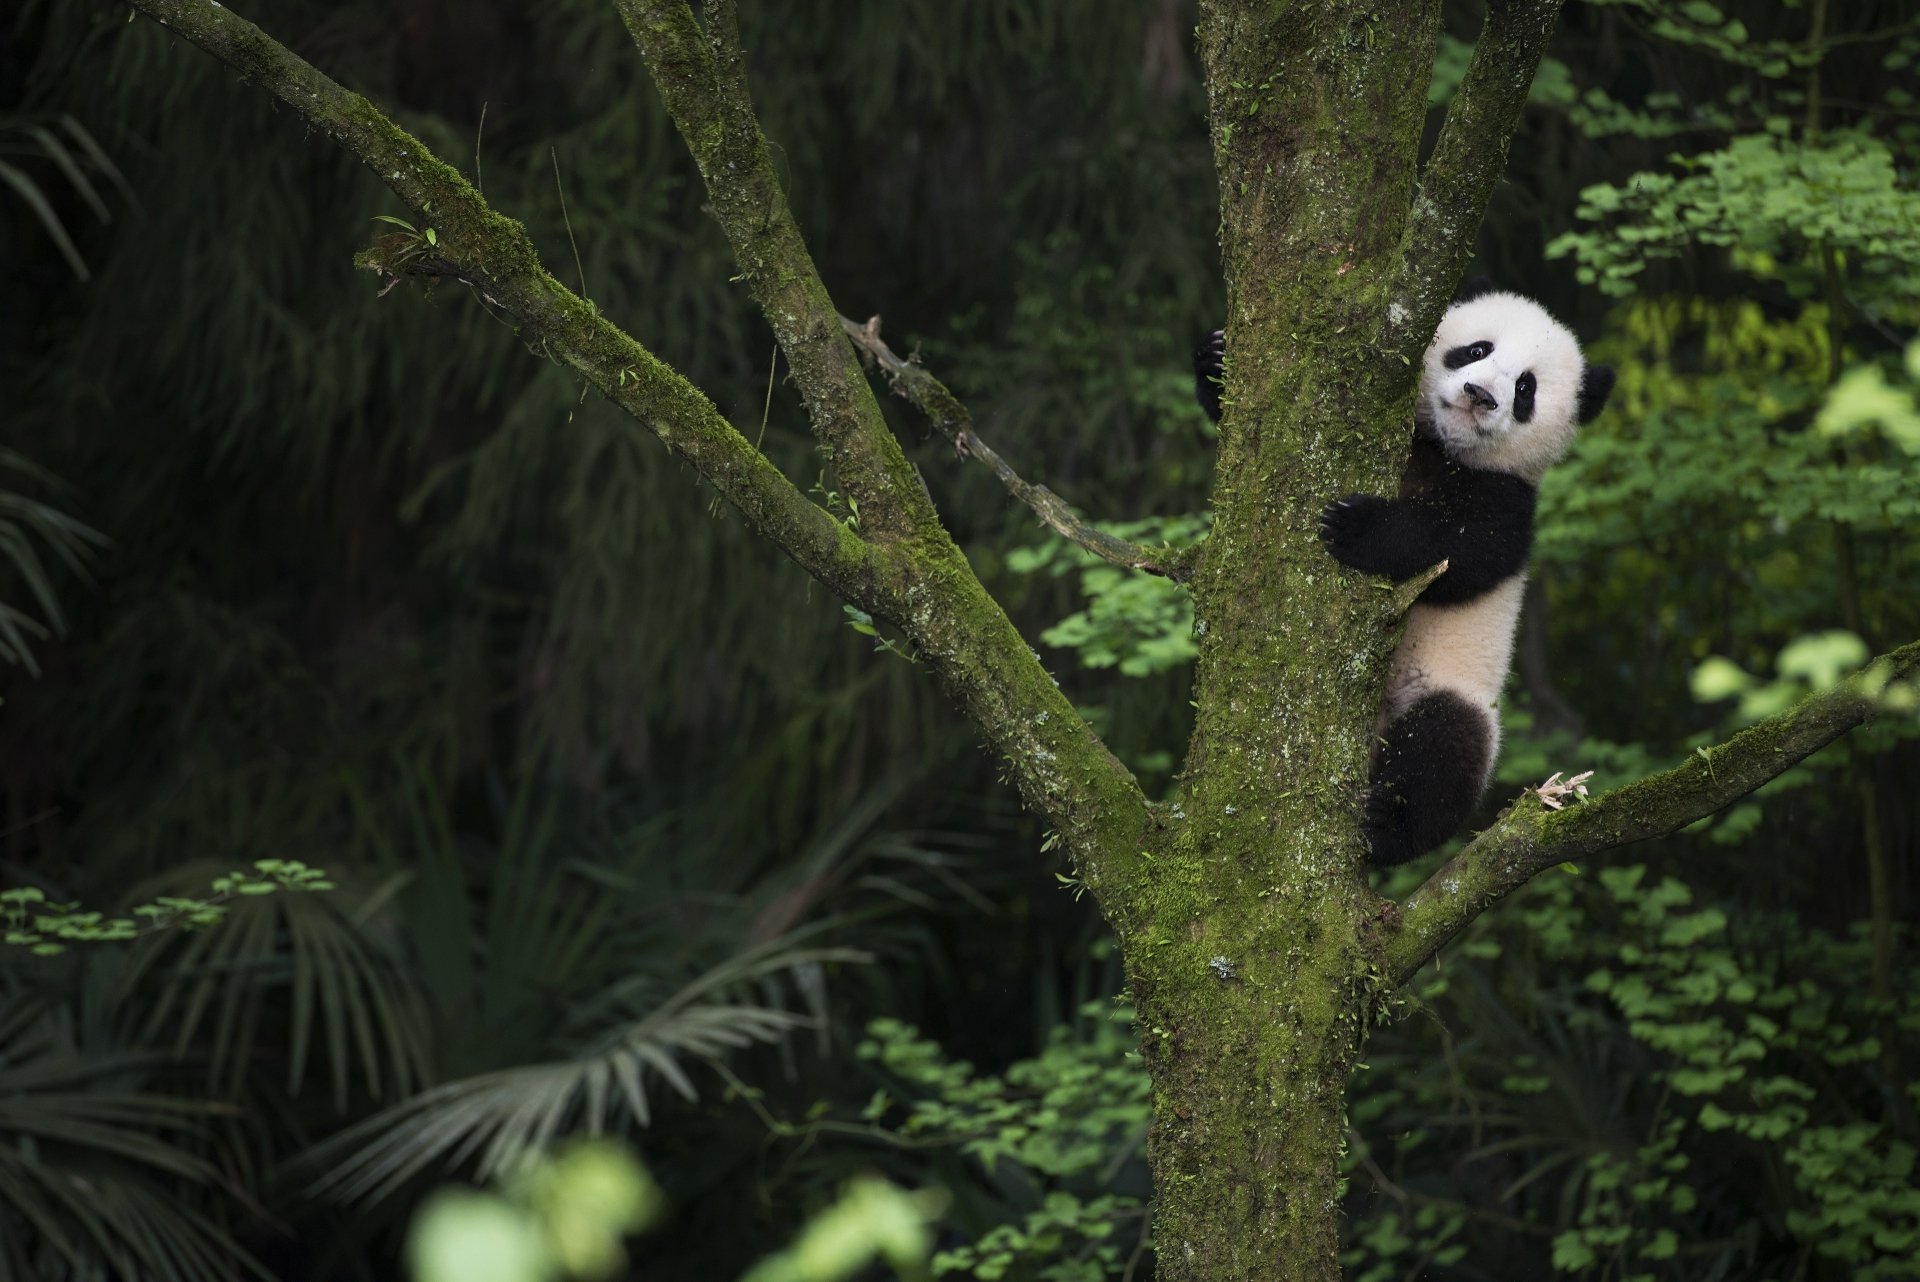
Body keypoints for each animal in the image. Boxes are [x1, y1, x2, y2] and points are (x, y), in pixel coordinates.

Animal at [1192, 281, 1614, 864]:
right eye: (1476, 350)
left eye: (1525, 389)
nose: (1480, 395)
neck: (1440, 447)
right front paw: (1215, 357)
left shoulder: (1510, 501)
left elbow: (1463, 550)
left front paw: (1356, 526)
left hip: (1449, 691)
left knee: (1443, 749)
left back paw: (1386, 826)